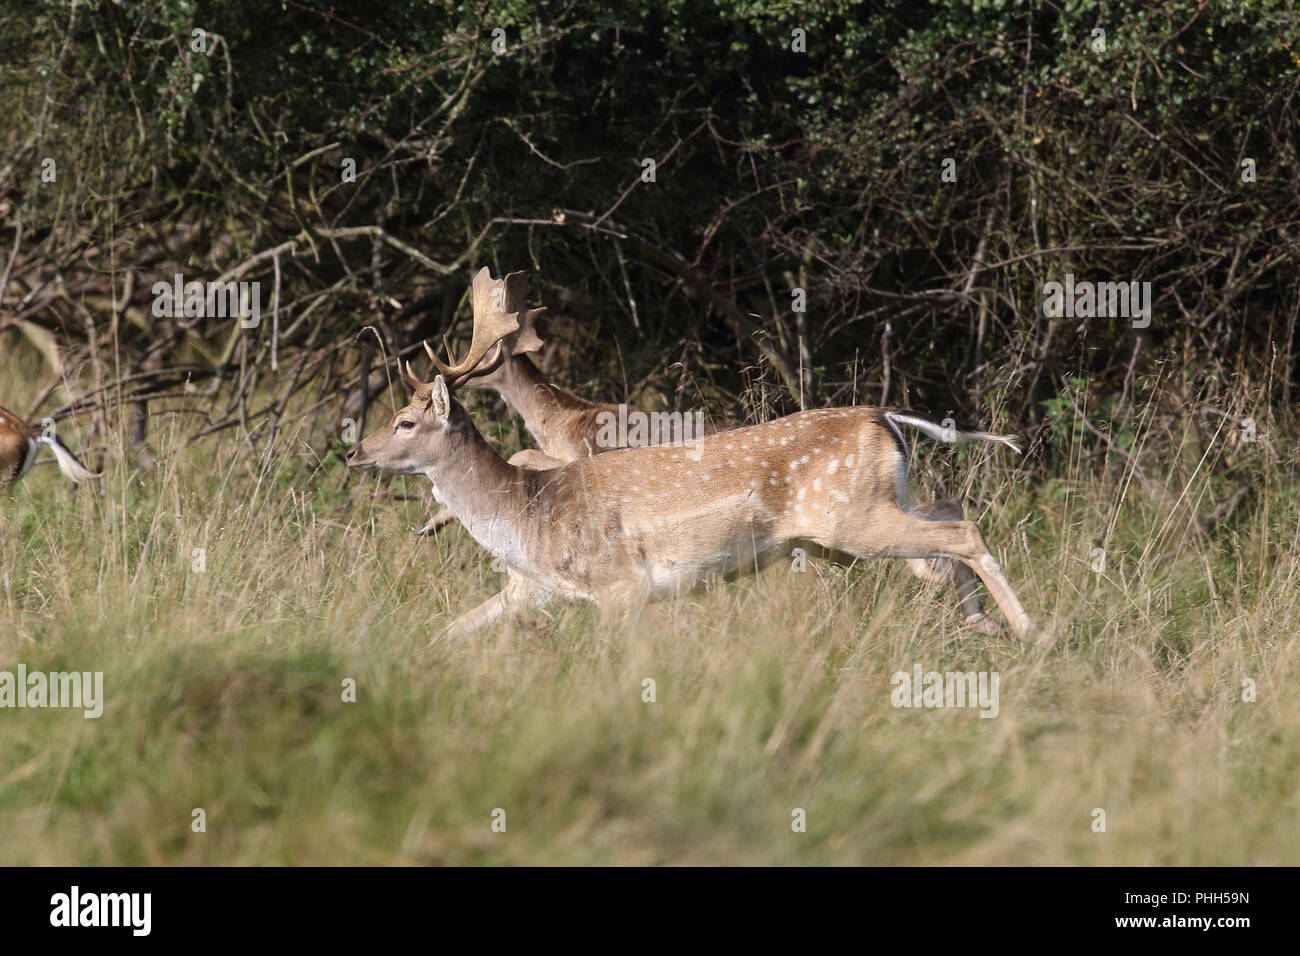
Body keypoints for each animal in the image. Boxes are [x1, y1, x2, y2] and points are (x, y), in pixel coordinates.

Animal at [345, 289, 1048, 648]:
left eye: (406, 421)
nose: (354, 451)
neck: (526, 514)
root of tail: (885, 416)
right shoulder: (531, 588)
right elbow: (449, 632)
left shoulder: (620, 584)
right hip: (871, 511)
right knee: (950, 517)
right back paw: (986, 623)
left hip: (851, 520)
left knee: (961, 532)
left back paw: (1034, 633)